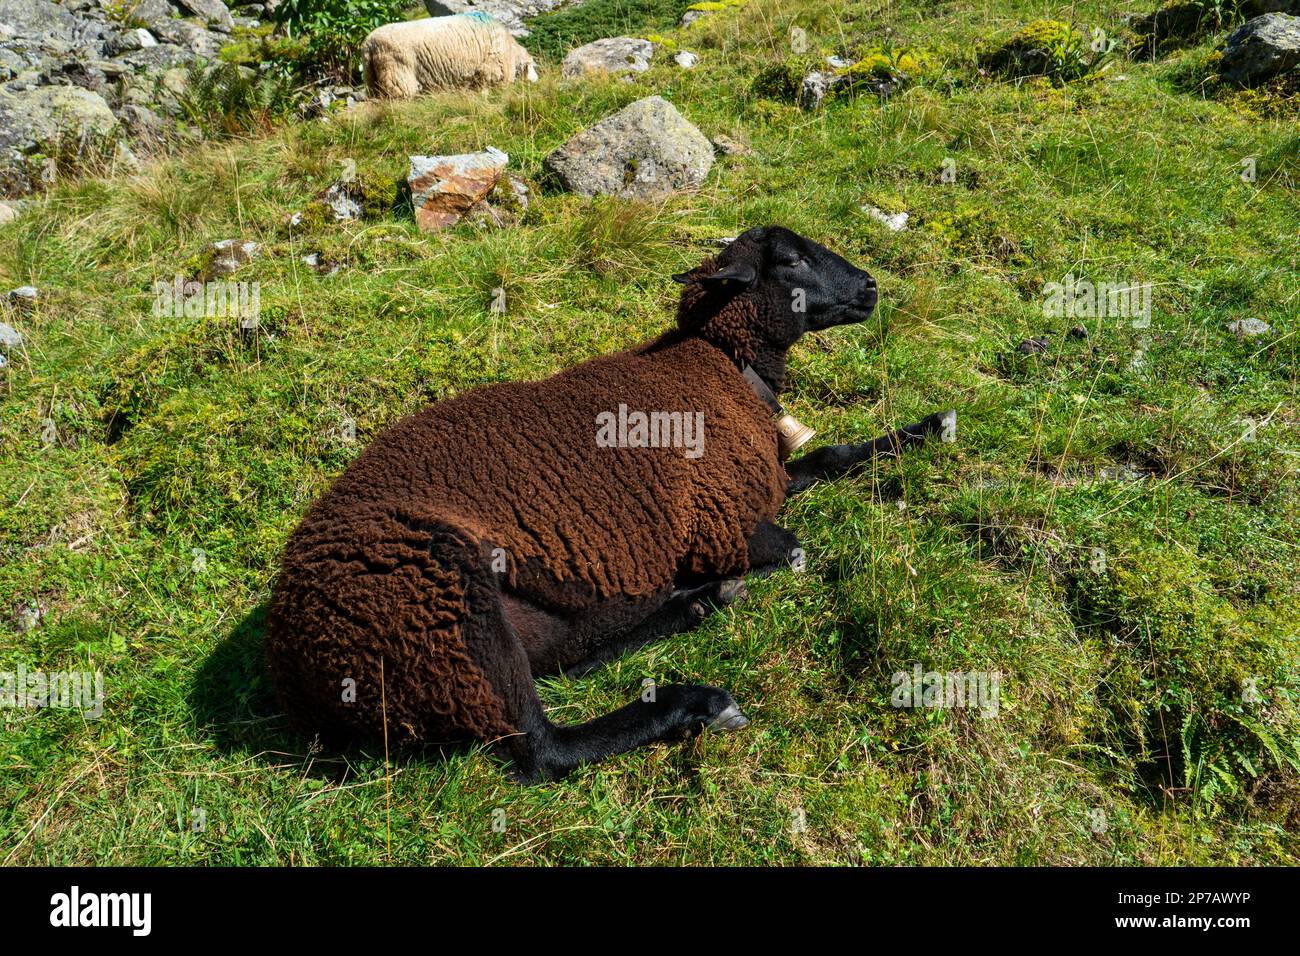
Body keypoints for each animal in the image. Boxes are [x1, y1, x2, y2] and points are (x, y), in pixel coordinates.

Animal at [264, 226, 955, 782]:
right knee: (544, 747)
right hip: (441, 602)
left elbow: (832, 456)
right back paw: (697, 698)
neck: (722, 368)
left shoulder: (765, 486)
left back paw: (696, 605)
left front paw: (929, 427)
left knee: (567, 663)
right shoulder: (722, 523)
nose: (870, 287)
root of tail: (294, 669)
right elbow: (794, 550)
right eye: (789, 260)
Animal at [361, 13, 538, 99]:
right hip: (397, 72)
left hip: (372, 78)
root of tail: (369, 44)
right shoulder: (493, 67)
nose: (536, 80)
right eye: (532, 66)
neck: (511, 50)